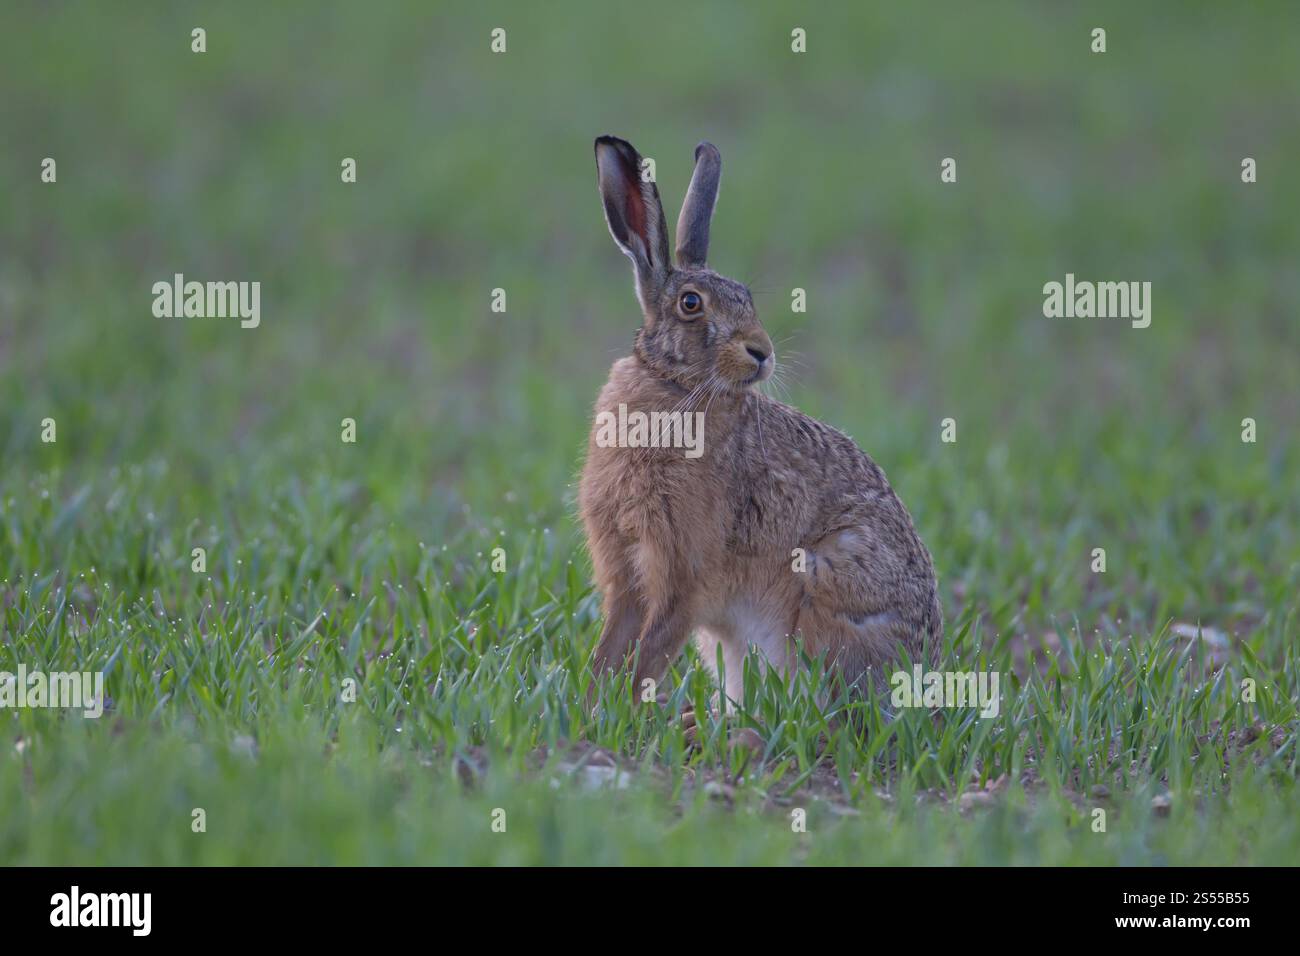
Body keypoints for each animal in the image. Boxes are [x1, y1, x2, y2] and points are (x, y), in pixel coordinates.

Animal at [579, 135, 941, 707]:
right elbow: (614, 647)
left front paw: (622, 710)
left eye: (748, 299)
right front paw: (593, 707)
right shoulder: (627, 570)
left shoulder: (685, 573)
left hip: (821, 593)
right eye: (691, 303)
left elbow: (652, 651)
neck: (674, 385)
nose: (762, 352)